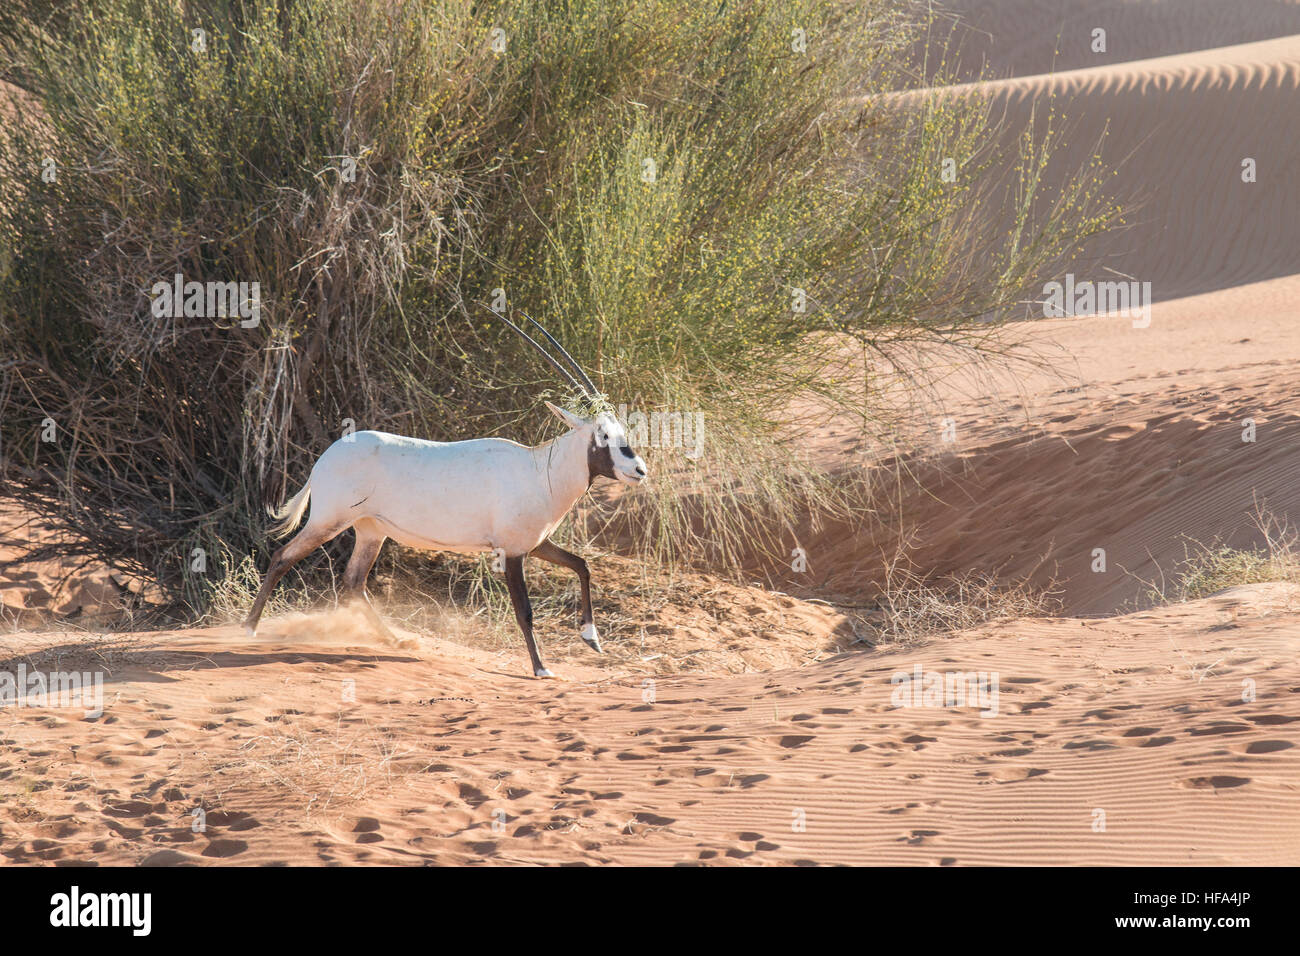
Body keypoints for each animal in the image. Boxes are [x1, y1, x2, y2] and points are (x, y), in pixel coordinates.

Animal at [243, 311, 648, 677]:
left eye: (620, 430)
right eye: (603, 436)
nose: (639, 469)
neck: (539, 471)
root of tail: (324, 460)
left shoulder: (534, 544)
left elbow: (582, 565)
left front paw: (592, 639)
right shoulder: (512, 552)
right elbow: (525, 610)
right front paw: (540, 668)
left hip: (371, 531)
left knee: (353, 582)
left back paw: (395, 640)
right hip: (329, 521)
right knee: (282, 557)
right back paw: (249, 629)